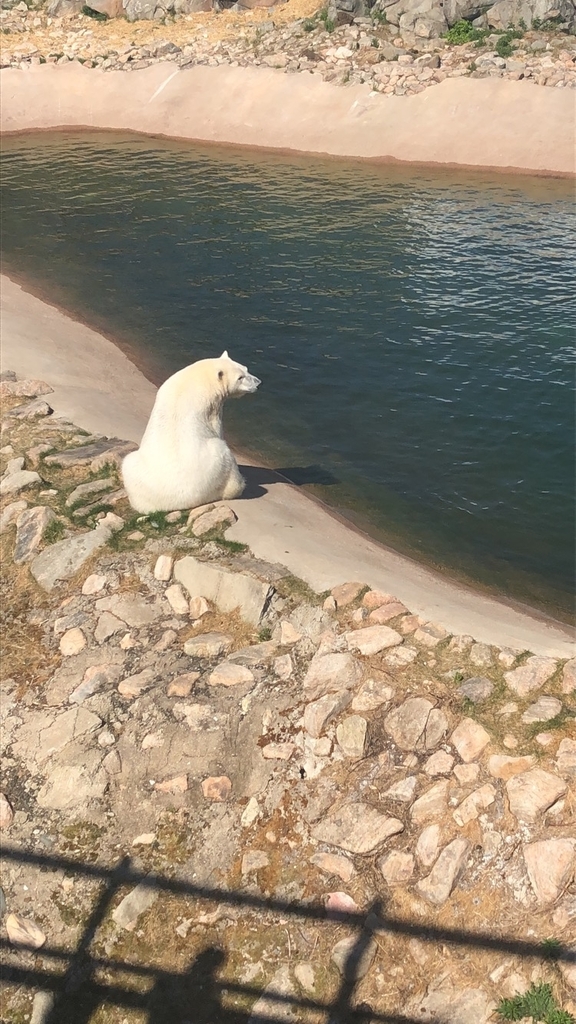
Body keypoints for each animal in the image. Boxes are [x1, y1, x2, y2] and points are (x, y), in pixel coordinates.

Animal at [122, 351, 261, 514]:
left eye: (246, 369)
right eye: (240, 377)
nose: (258, 382)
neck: (200, 375)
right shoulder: (212, 407)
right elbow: (217, 429)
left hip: (134, 473)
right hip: (215, 464)